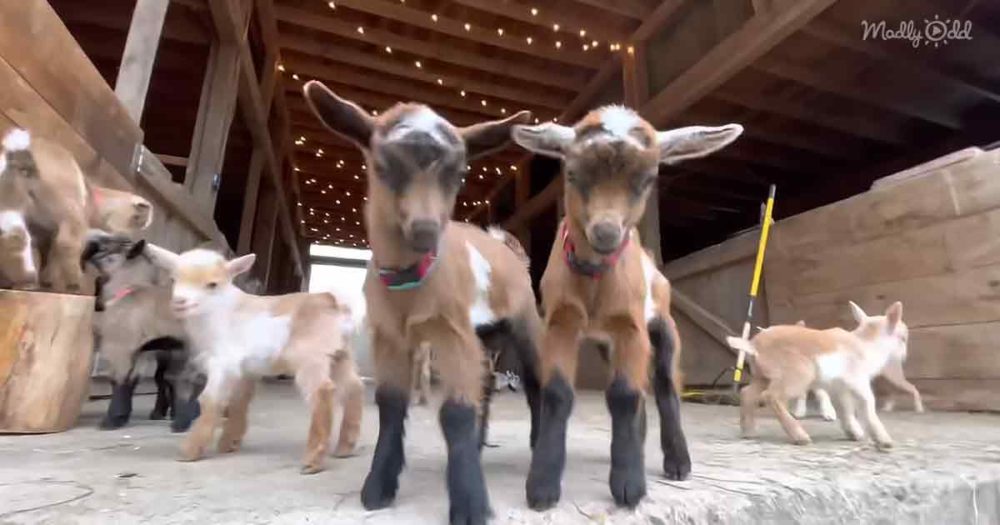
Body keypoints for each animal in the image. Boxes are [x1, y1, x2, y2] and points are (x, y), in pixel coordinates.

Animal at [83, 233, 201, 432]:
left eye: (107, 249)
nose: (92, 239)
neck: (128, 289)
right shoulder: (140, 350)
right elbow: (132, 381)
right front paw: (122, 417)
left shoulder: (119, 346)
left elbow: (118, 380)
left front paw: (111, 421)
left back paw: (181, 421)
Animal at [143, 243, 364, 475]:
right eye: (174, 279)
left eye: (212, 284)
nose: (180, 302)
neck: (219, 311)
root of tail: (334, 302)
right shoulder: (245, 371)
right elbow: (239, 400)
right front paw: (228, 444)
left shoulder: (223, 363)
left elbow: (210, 400)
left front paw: (189, 452)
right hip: (340, 354)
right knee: (353, 387)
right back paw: (345, 448)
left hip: (310, 356)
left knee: (322, 391)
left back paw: (312, 462)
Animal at [303, 81, 541, 523]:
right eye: (382, 165)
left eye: (460, 173)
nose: (426, 230)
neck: (410, 289)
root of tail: (508, 249)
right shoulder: (389, 336)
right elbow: (391, 403)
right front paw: (378, 486)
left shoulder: (453, 330)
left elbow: (455, 411)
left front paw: (470, 503)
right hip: (485, 335)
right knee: (485, 382)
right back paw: (480, 445)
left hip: (523, 320)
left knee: (535, 381)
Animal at [512, 106, 743, 509]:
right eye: (572, 174)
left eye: (648, 179)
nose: (606, 233)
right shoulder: (561, 321)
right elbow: (558, 392)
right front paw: (542, 484)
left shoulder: (630, 324)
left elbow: (624, 394)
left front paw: (628, 485)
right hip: (608, 342)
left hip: (663, 326)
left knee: (665, 385)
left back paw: (677, 461)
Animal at [727, 301, 906, 450]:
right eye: (904, 338)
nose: (904, 356)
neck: (866, 343)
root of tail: (753, 346)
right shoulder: (858, 383)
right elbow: (868, 407)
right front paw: (884, 440)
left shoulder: (840, 389)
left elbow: (846, 410)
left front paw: (854, 433)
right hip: (799, 375)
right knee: (772, 397)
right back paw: (800, 437)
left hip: (763, 377)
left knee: (747, 393)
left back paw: (749, 432)